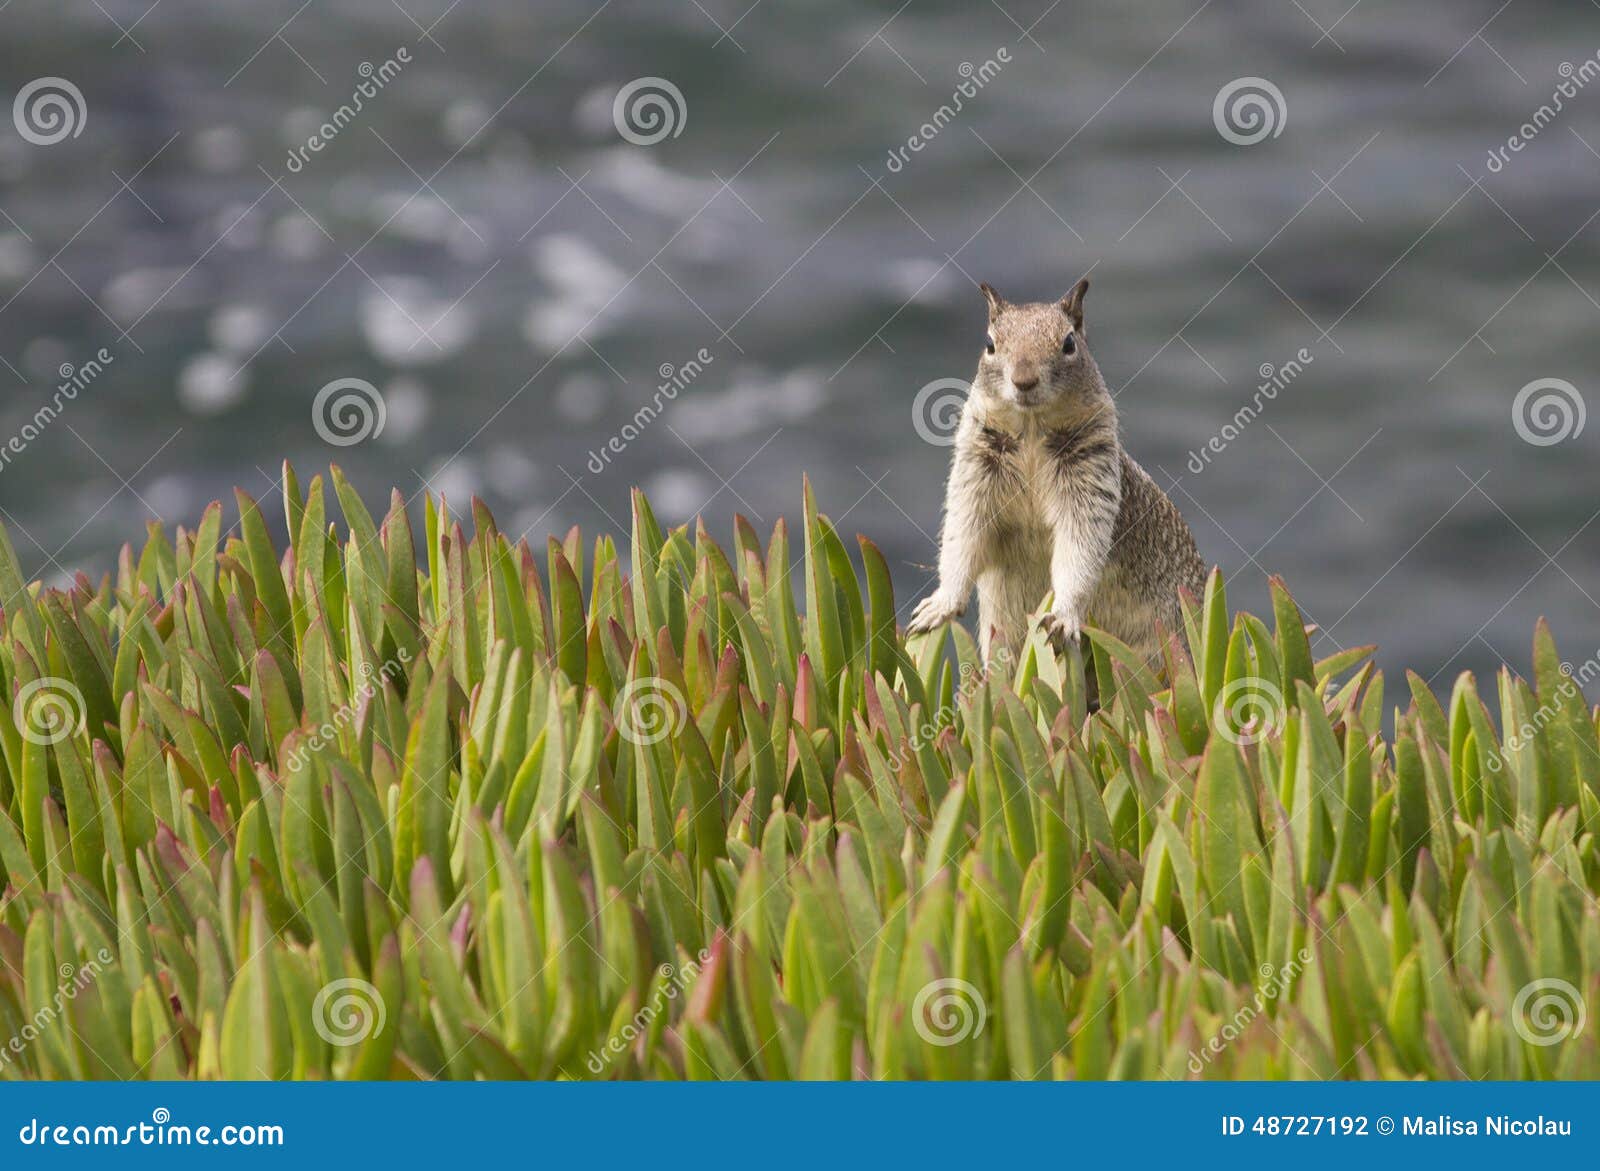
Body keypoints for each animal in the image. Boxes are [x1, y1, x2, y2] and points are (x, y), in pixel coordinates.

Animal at [906, 277, 1207, 667]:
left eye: (1068, 344)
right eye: (990, 344)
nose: (1024, 380)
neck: (1032, 434)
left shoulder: (1089, 480)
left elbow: (1079, 549)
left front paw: (1064, 616)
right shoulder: (974, 476)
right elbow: (962, 537)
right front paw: (939, 605)